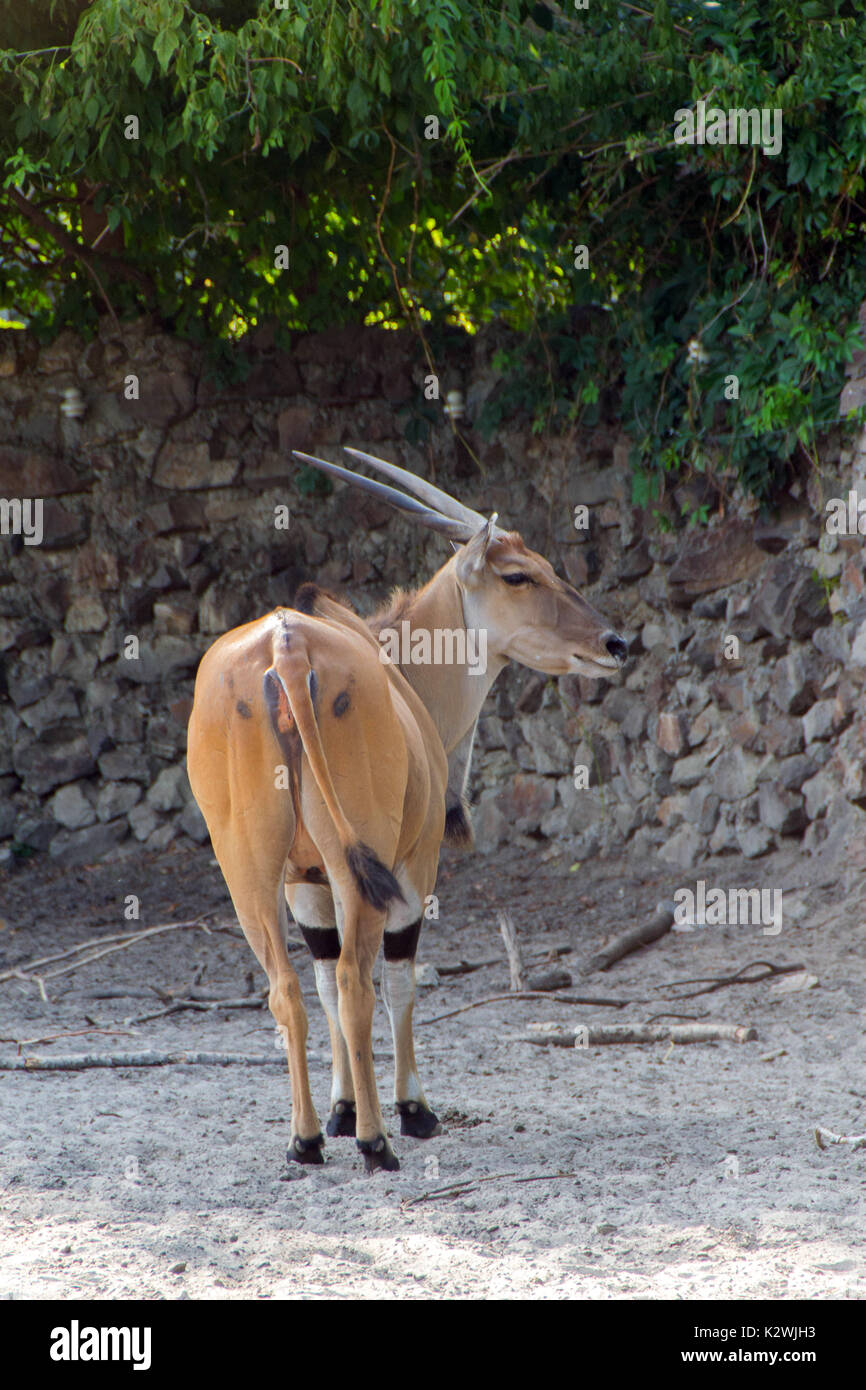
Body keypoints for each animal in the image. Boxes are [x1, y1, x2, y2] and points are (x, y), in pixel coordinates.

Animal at [187, 448, 628, 1173]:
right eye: (519, 574)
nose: (614, 643)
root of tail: (287, 646)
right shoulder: (414, 866)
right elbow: (398, 978)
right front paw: (411, 1111)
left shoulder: (306, 884)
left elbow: (320, 980)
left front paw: (338, 1112)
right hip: (354, 867)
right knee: (358, 982)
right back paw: (376, 1142)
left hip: (252, 874)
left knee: (291, 988)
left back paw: (305, 1139)